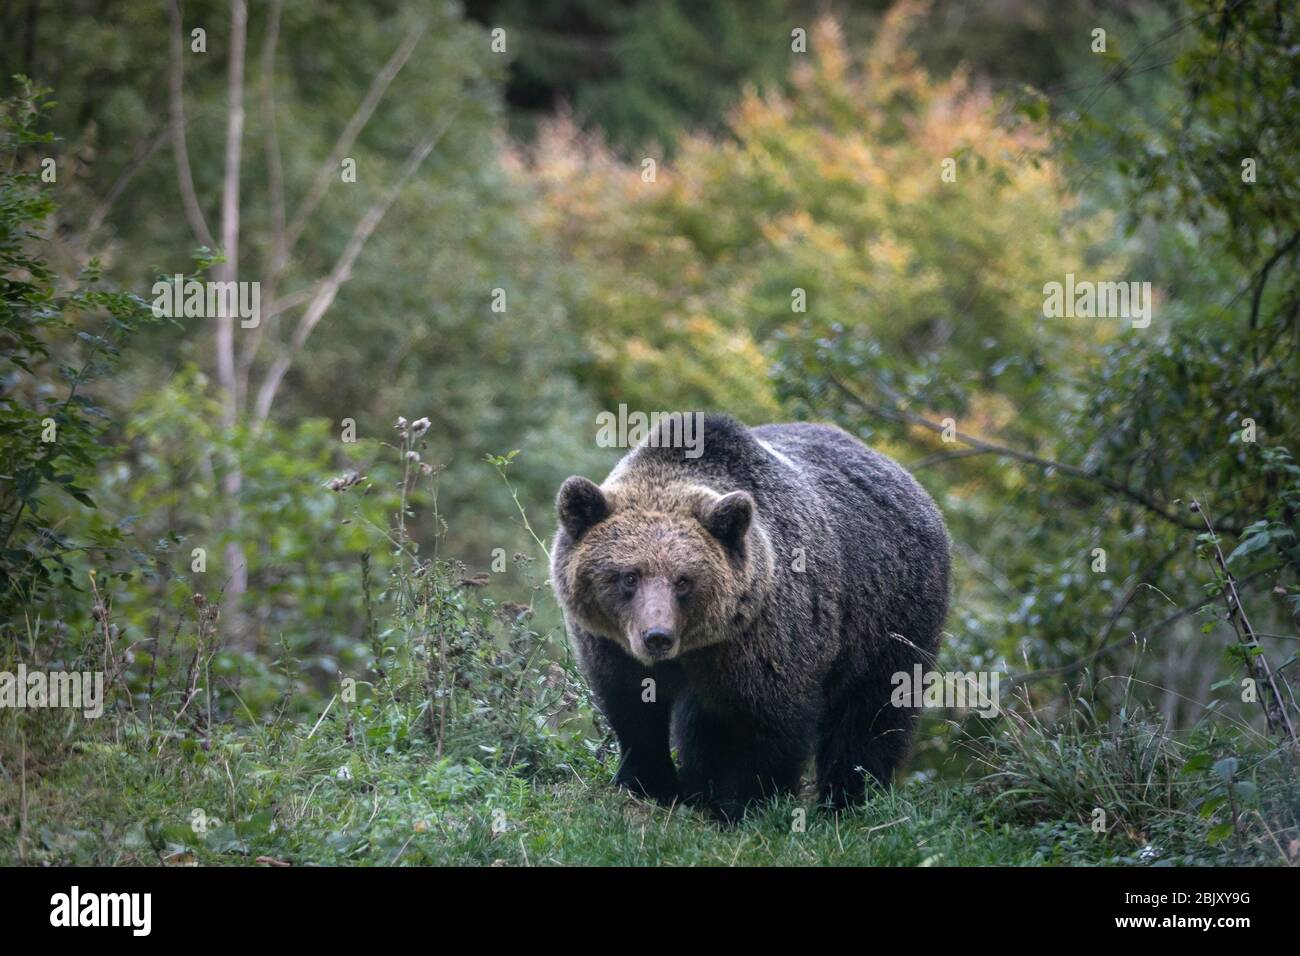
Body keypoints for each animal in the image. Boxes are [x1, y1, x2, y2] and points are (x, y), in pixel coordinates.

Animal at [551, 413, 949, 819]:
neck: (698, 644)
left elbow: (768, 726)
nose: (657, 636)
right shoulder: (611, 644)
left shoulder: (765, 639)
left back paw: (849, 798)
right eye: (629, 576)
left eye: (684, 580)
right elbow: (633, 710)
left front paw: (748, 801)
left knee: (872, 713)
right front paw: (650, 784)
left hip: (890, 616)